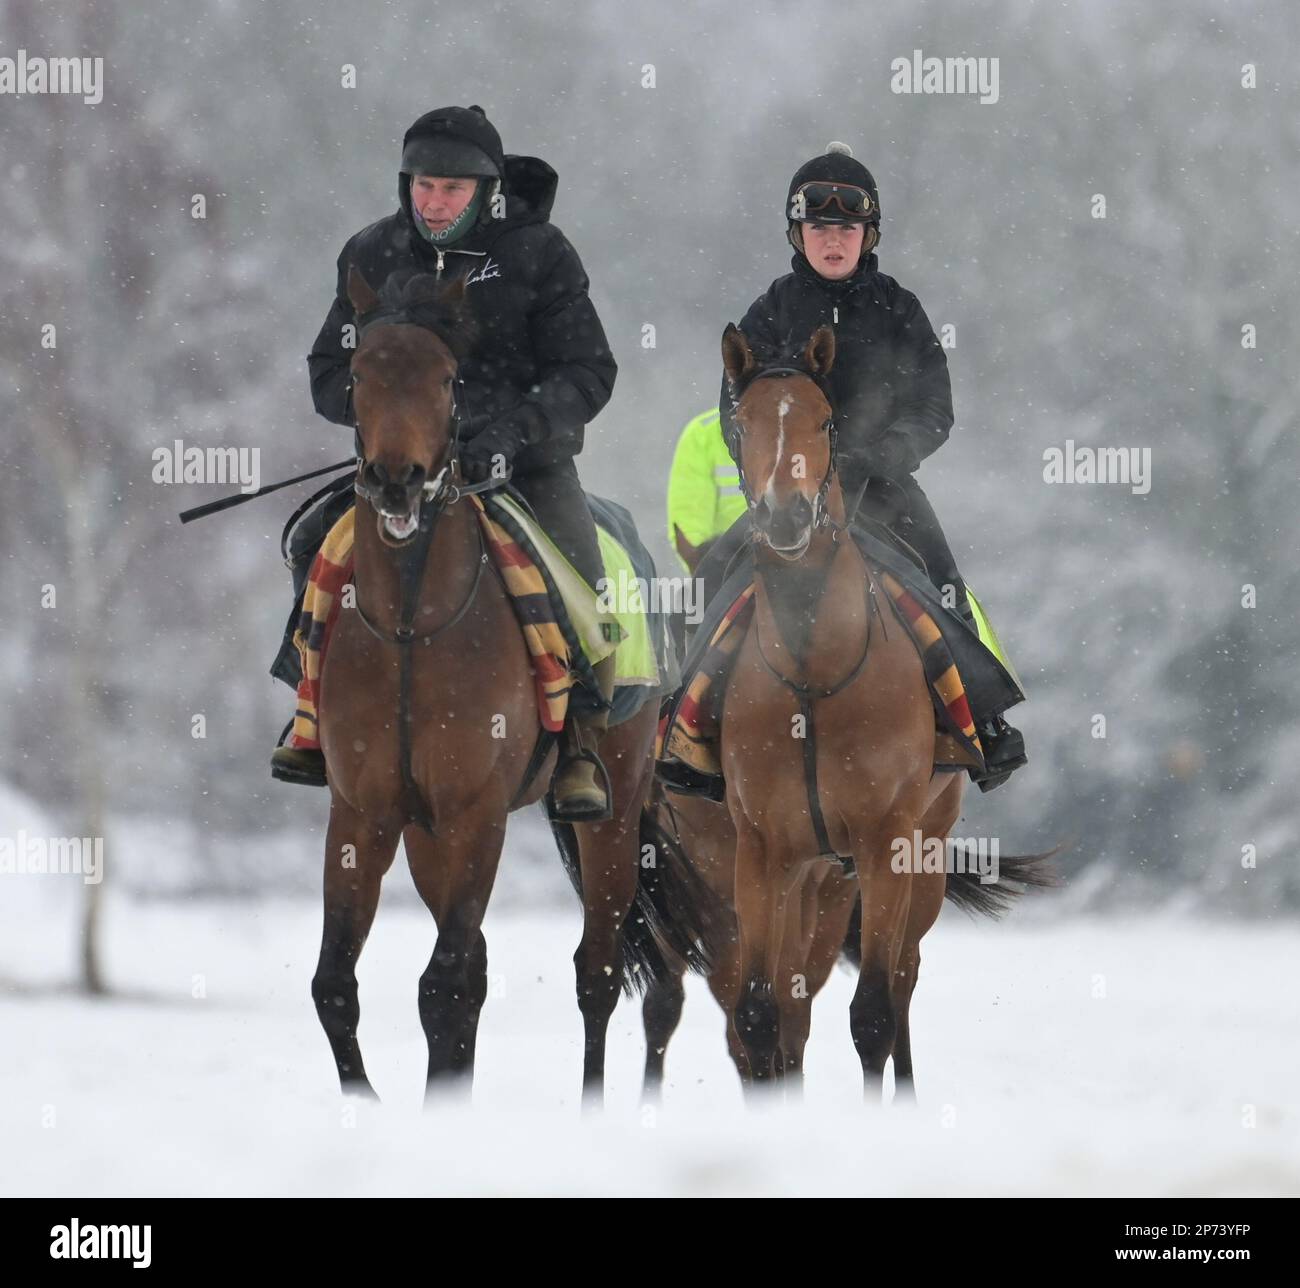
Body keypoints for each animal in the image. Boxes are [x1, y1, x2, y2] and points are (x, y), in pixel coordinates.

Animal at [310, 265, 708, 1105]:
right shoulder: (363, 812)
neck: (412, 625)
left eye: (448, 376)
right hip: (424, 834)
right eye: (358, 374)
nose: (397, 482)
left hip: (612, 812)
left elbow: (446, 983)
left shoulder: (477, 813)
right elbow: (337, 984)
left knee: (597, 970)